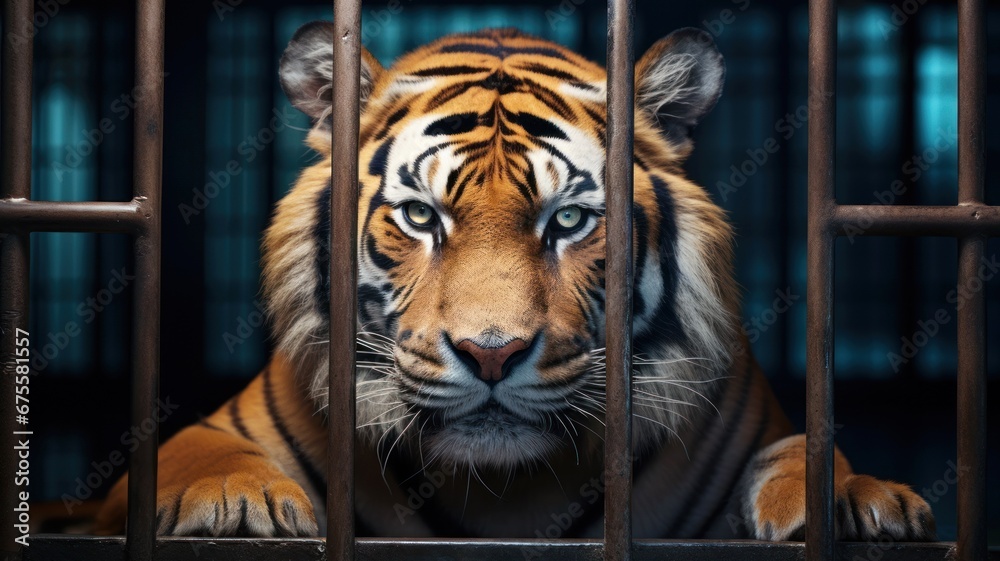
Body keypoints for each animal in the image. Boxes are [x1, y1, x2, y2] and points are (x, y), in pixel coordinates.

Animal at [96, 23, 936, 542]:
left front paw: (858, 501)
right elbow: (188, 451)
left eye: (569, 220)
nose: (492, 354)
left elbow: (813, 450)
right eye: (419, 214)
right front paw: (235, 505)